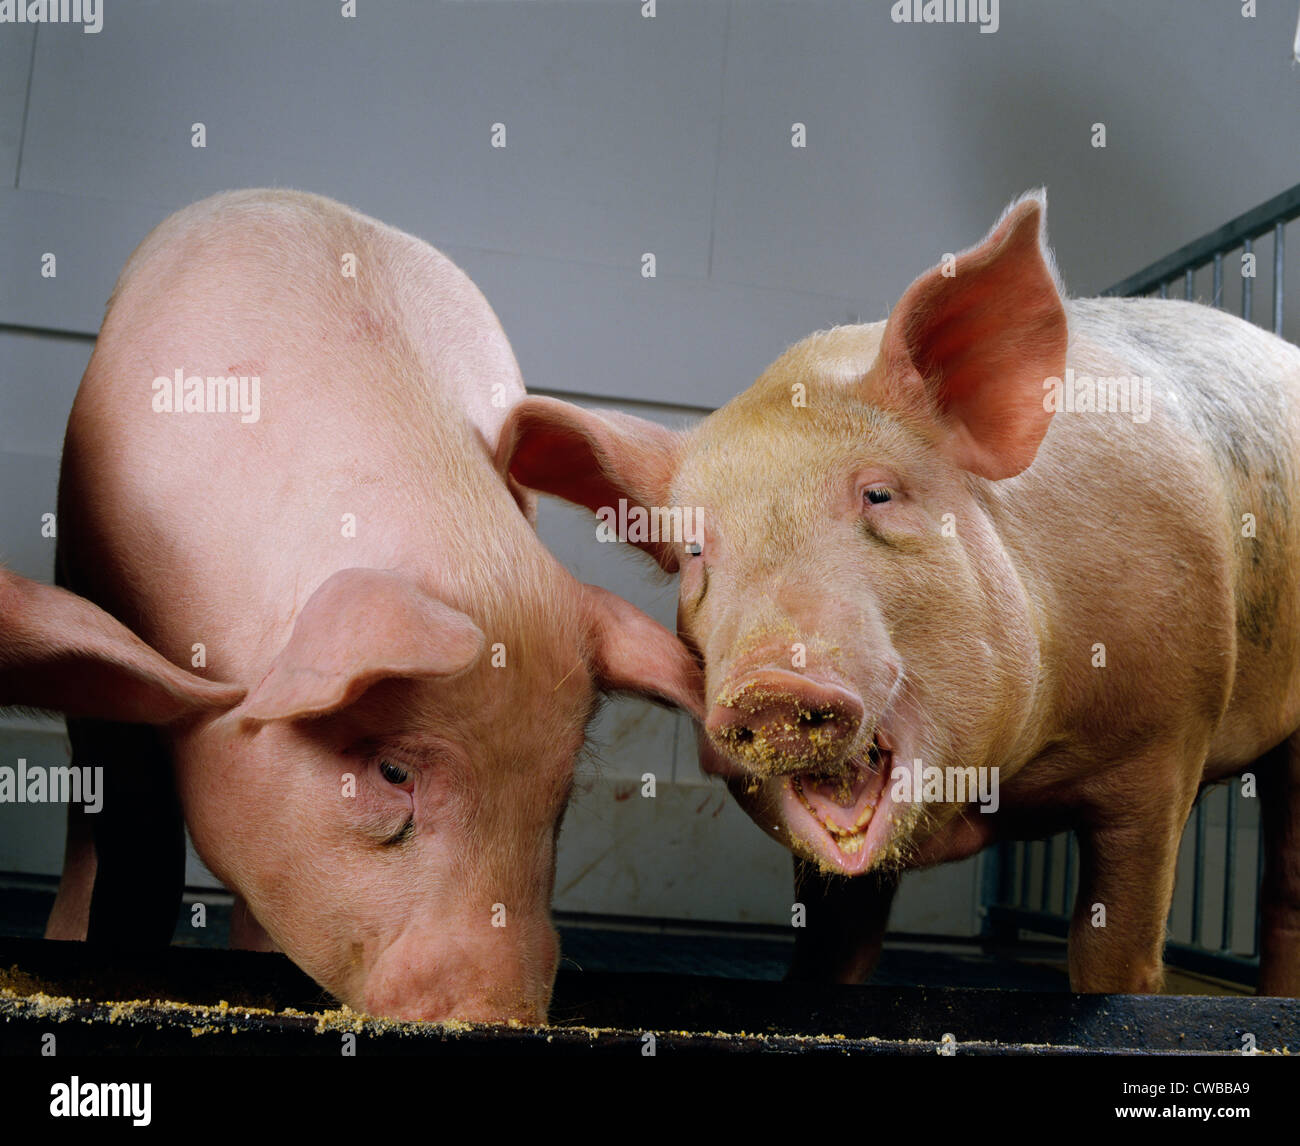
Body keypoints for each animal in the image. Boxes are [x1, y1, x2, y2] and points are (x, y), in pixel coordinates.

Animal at [497, 191, 1300, 995]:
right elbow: (832, 948)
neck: (994, 795)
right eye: (695, 549)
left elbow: (1117, 954)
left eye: (879, 494)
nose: (770, 685)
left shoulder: (1163, 745)